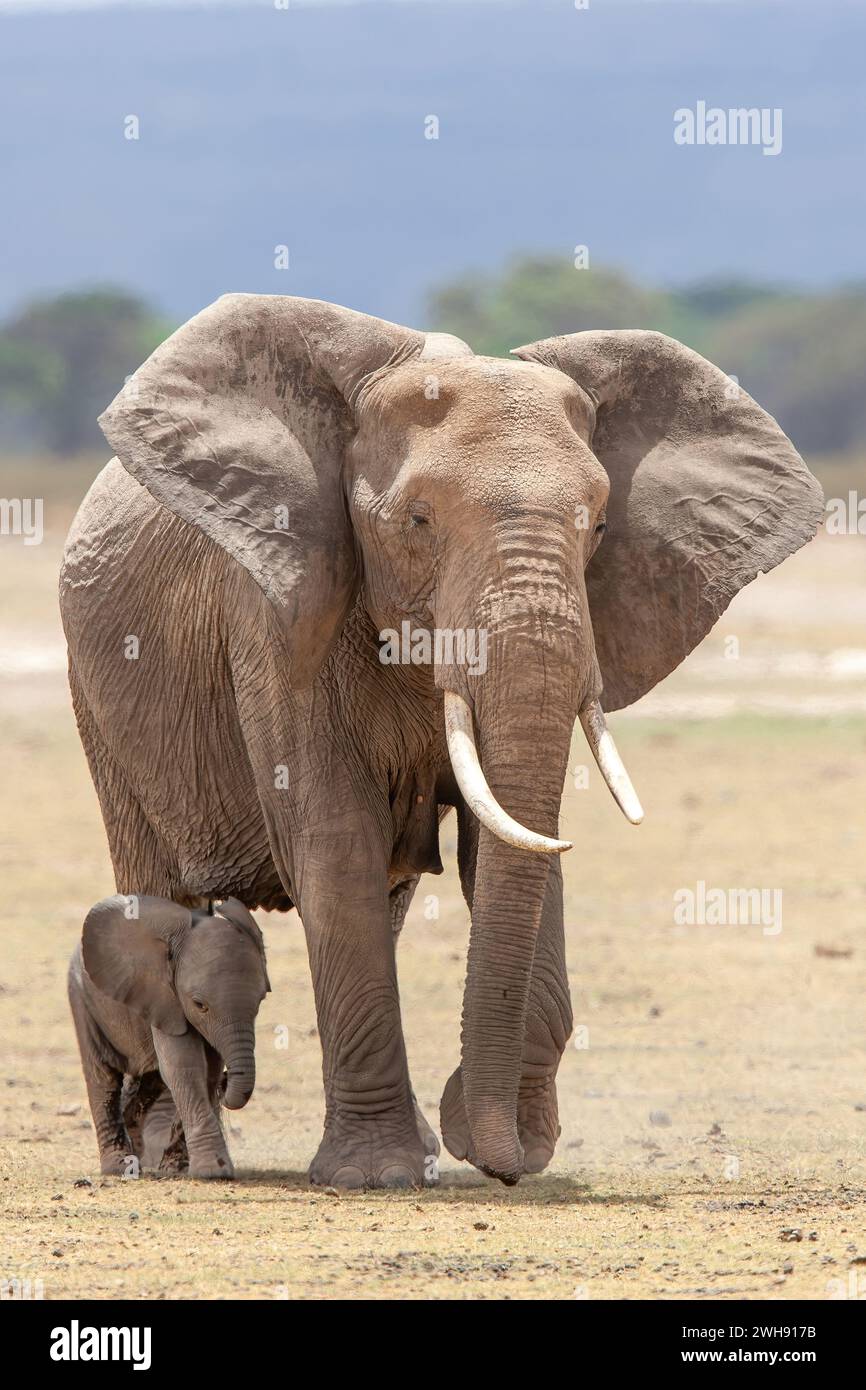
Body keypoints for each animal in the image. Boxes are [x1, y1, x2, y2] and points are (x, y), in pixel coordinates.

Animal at [68, 894, 270, 1178]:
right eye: (199, 1004)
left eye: (261, 1000)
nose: (229, 1080)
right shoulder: (164, 997)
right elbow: (183, 1066)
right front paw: (213, 1172)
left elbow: (206, 1071)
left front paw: (180, 1167)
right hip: (83, 998)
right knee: (103, 1077)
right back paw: (119, 1168)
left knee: (150, 1081)